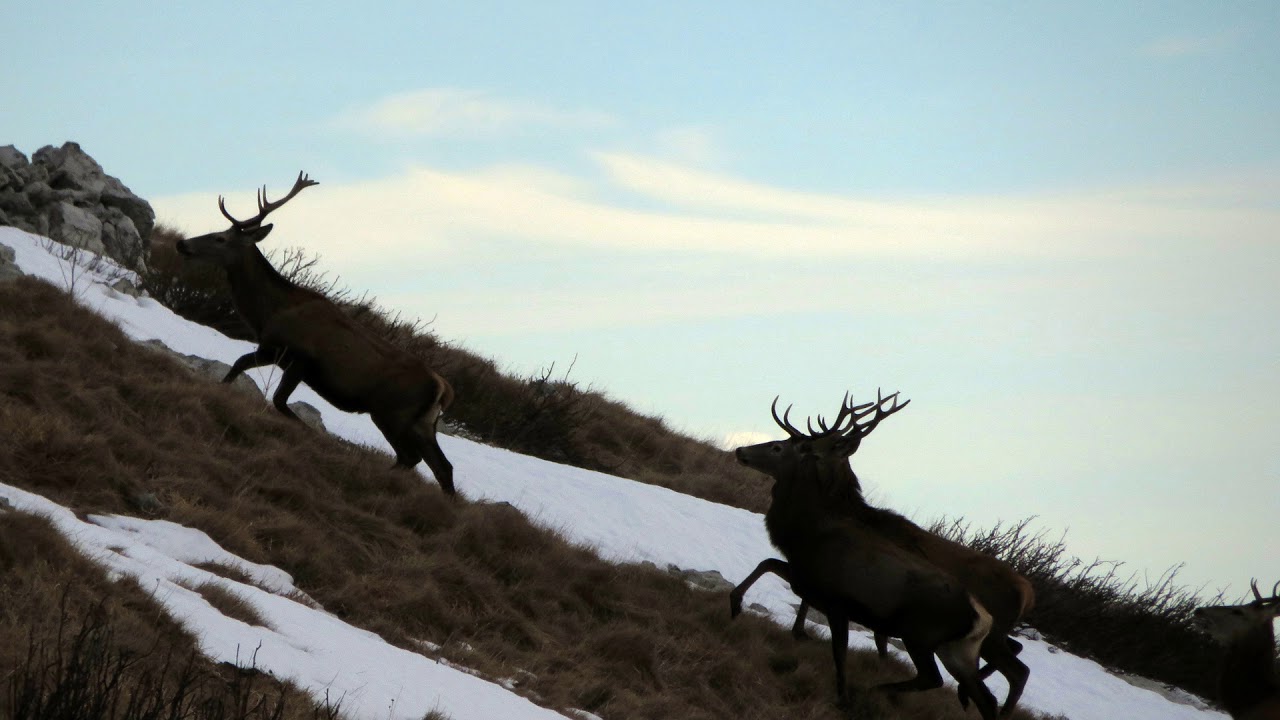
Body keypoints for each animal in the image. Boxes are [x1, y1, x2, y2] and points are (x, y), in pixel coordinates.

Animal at [175, 172, 457, 496]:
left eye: (219, 238)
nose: (181, 244)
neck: (268, 313)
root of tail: (442, 388)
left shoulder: (297, 357)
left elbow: (278, 400)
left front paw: (310, 432)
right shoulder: (272, 350)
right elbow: (238, 366)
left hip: (391, 412)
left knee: (412, 458)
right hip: (421, 423)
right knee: (441, 466)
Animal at [732, 391, 1035, 716]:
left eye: (779, 446)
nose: (741, 449)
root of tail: (1026, 594)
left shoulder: (838, 600)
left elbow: (843, 650)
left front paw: (841, 689)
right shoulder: (805, 578)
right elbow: (770, 565)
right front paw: (741, 606)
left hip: (924, 634)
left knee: (976, 674)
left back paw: (880, 690)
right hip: (959, 649)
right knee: (992, 685)